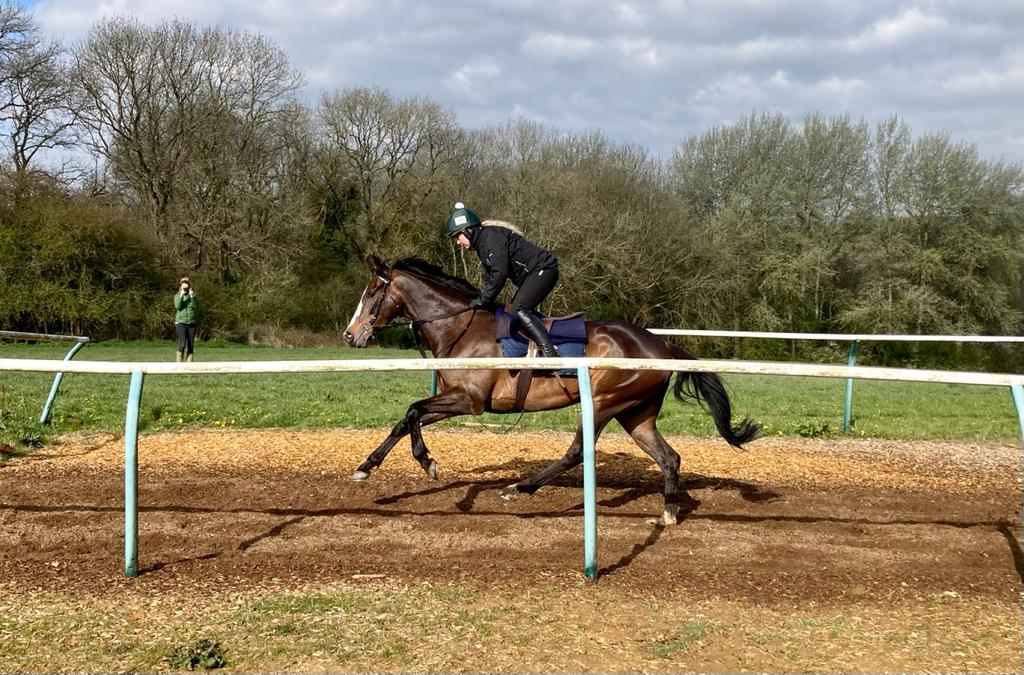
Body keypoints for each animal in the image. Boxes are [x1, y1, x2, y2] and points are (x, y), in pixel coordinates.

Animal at [343, 256, 761, 524]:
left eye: (371, 292)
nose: (350, 335)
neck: (460, 326)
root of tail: (663, 345)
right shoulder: (457, 399)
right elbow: (405, 418)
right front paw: (366, 467)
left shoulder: (469, 400)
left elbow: (413, 409)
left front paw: (426, 461)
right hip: (636, 414)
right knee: (669, 457)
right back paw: (669, 512)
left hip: (605, 402)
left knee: (576, 452)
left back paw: (521, 487)